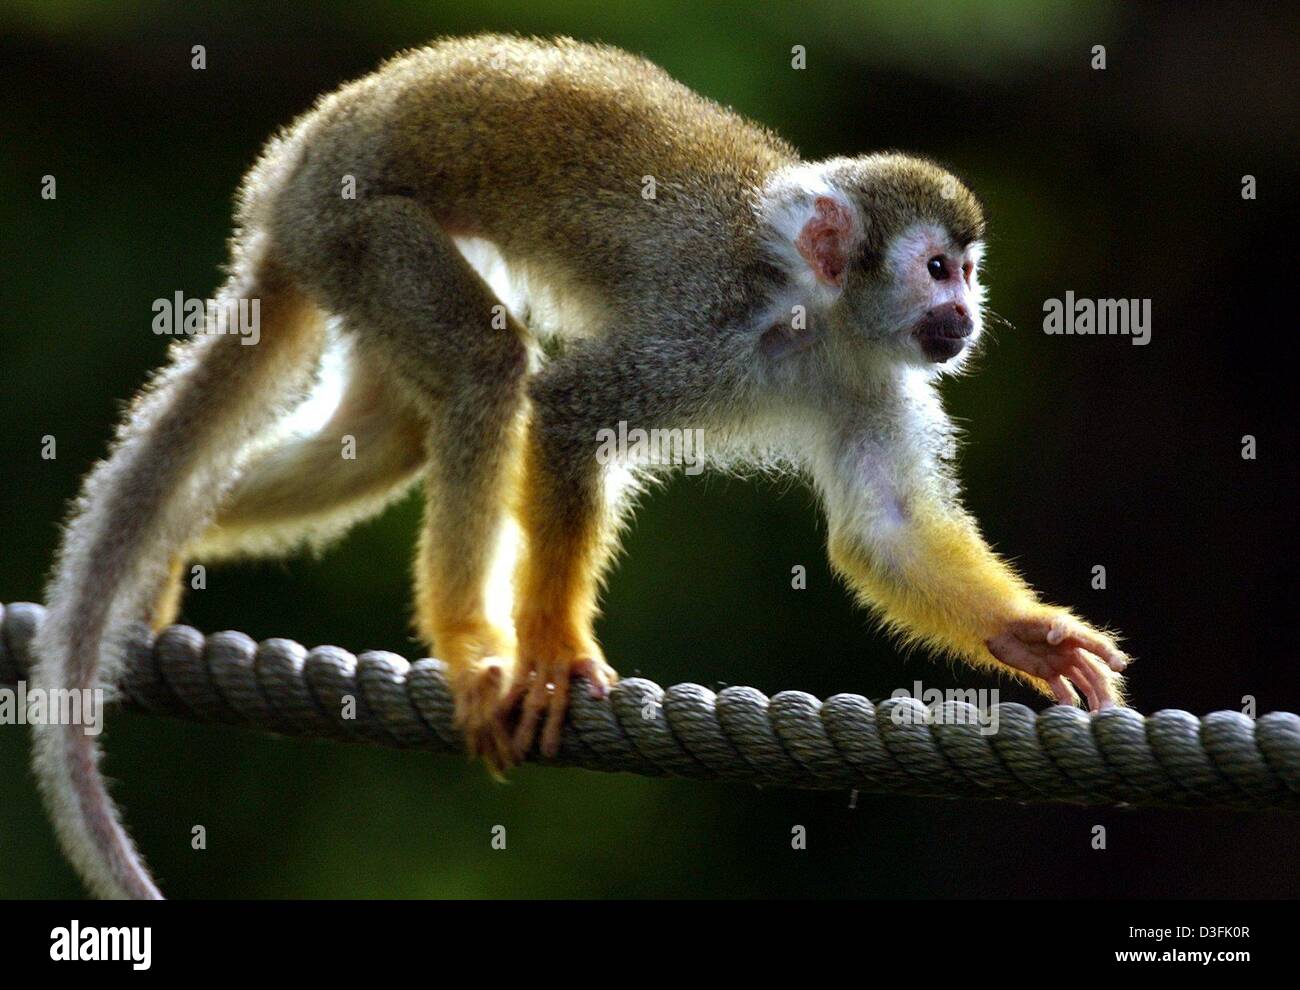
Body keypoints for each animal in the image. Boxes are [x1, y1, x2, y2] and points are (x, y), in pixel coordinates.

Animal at [31, 34, 1128, 900]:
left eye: (969, 272)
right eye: (939, 269)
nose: (966, 316)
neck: (819, 319)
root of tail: (293, 159)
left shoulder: (872, 379)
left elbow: (886, 531)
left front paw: (1030, 639)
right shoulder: (706, 331)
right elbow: (568, 414)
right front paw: (553, 651)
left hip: (343, 247)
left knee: (387, 431)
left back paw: (176, 542)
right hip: (355, 223)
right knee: (485, 372)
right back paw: (470, 642)